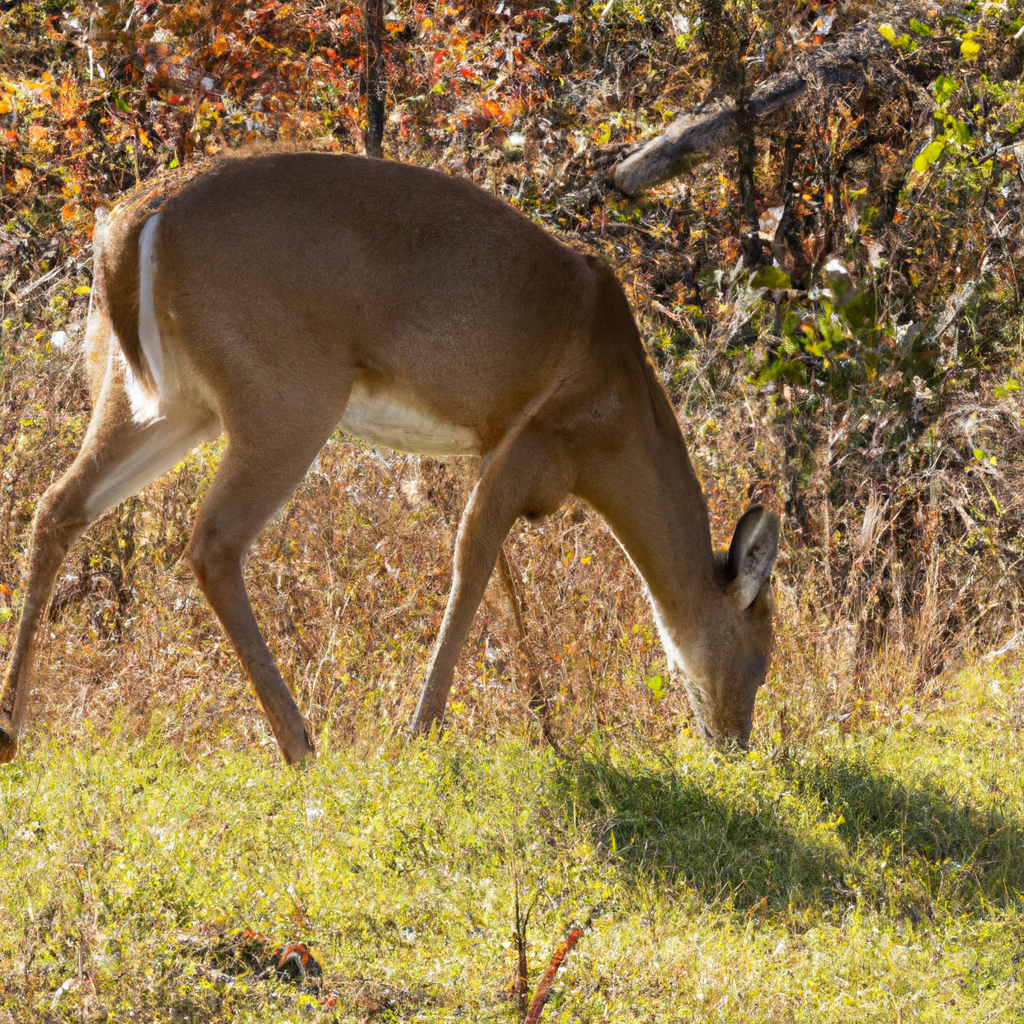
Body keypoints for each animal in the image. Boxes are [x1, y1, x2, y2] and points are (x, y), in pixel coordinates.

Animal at [0, 152, 780, 766]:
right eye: (762, 654)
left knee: (58, 505)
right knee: (212, 543)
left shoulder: (489, 444)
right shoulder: (536, 436)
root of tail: (133, 227)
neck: (618, 409)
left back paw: (11, 731)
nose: (736, 743)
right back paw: (300, 744)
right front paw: (424, 730)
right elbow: (473, 559)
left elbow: (504, 576)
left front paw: (544, 723)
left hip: (156, 398)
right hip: (285, 393)